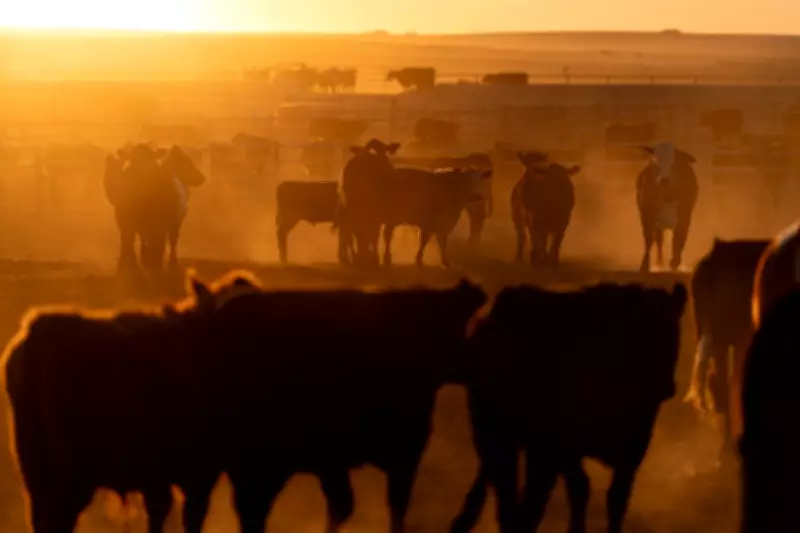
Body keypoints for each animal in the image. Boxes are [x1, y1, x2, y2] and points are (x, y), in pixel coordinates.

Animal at [104, 143, 206, 275]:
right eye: (133, 160)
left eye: (152, 160)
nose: (201, 178)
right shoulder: (125, 222)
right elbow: (128, 241)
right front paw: (128, 266)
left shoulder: (161, 225)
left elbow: (159, 244)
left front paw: (154, 265)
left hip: (173, 224)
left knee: (171, 242)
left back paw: (168, 263)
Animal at [341, 138, 401, 267]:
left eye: (384, 150)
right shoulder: (386, 214)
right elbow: (382, 234)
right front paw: (382, 258)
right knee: (362, 232)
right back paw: (363, 257)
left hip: (351, 206)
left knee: (351, 230)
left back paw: (356, 257)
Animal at [451, 282, 687, 533]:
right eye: (642, 338)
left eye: (674, 336)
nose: (665, 387)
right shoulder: (562, 448)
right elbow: (579, 489)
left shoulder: (632, 453)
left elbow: (616, 501)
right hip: (496, 434)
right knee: (510, 491)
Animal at [636, 142, 699, 272]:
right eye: (655, 161)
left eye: (674, 162)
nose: (664, 180)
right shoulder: (646, 215)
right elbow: (649, 239)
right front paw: (644, 265)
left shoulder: (684, 217)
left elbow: (679, 239)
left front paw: (675, 262)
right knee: (658, 240)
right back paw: (659, 264)